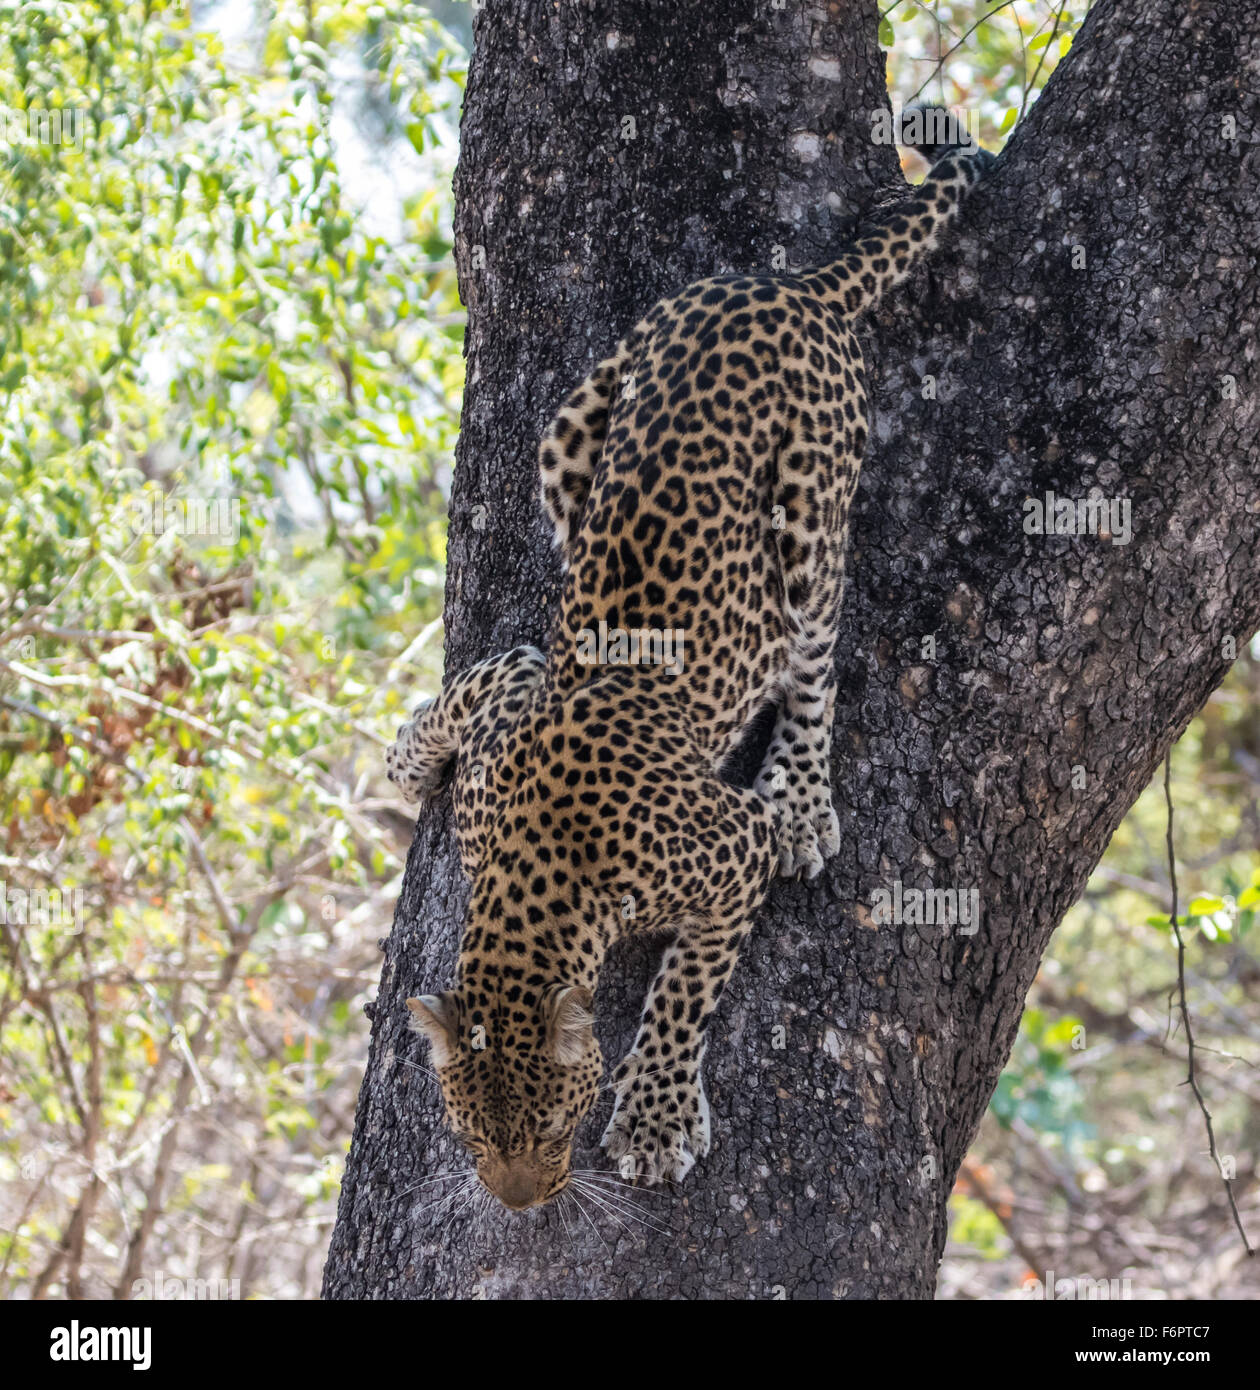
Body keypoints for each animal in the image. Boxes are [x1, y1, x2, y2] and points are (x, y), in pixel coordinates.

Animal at [387, 122, 994, 1210]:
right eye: (467, 1128)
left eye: (554, 1123)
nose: (521, 1202)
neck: (533, 876)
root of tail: (790, 287)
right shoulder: (511, 693)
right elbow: (474, 683)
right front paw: (409, 762)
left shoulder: (727, 852)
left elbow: (683, 989)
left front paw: (656, 1117)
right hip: (571, 428)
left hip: (810, 506)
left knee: (813, 652)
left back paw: (802, 797)